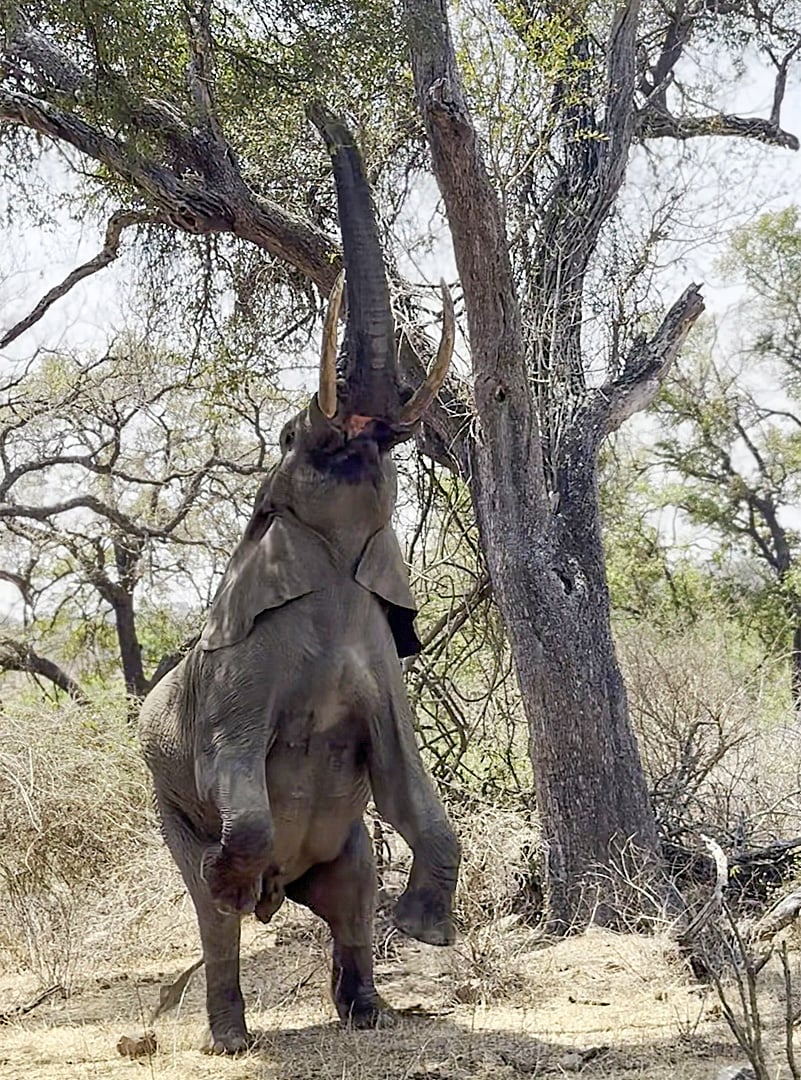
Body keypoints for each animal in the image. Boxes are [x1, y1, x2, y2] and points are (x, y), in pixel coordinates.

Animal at [138, 106, 461, 1054]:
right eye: (290, 436)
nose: (323, 109)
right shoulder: (237, 682)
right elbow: (233, 776)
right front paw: (230, 875)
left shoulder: (380, 664)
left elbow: (407, 783)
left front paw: (426, 930)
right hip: (159, 799)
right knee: (212, 923)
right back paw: (231, 1026)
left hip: (342, 854)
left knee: (350, 896)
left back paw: (367, 1015)